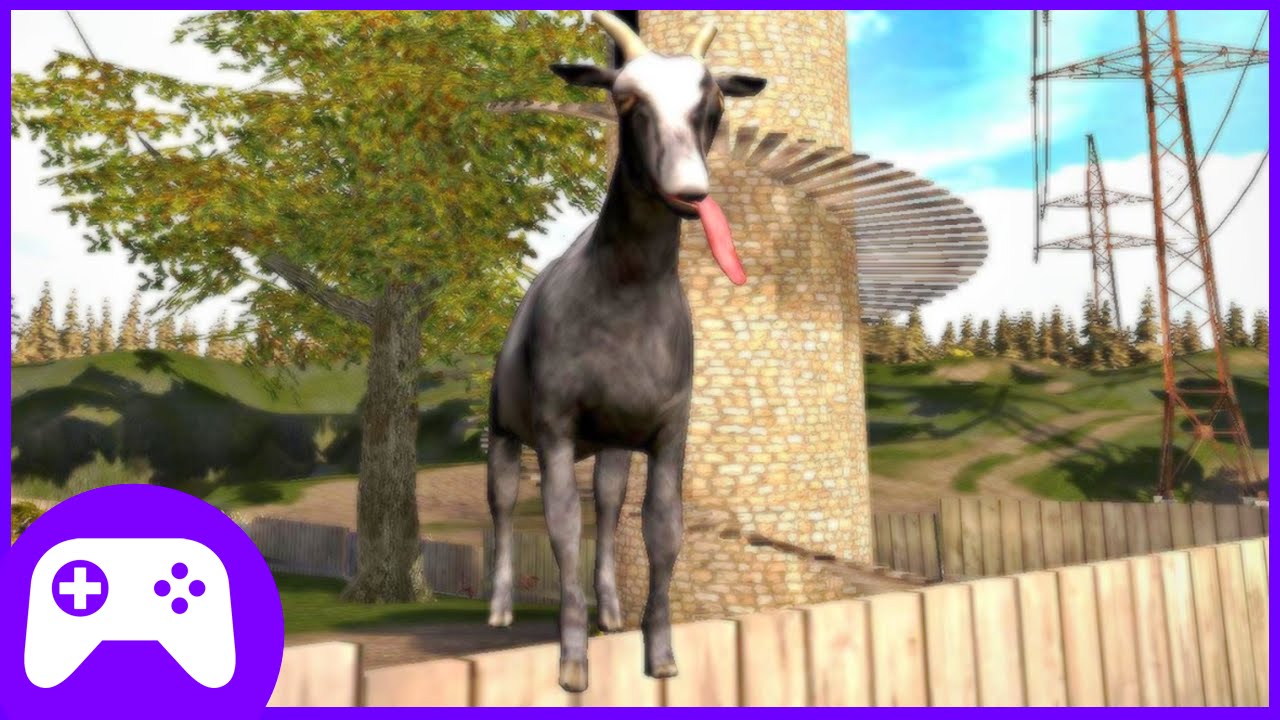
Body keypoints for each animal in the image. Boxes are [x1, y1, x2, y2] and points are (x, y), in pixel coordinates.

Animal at [486, 11, 766, 693]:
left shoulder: (670, 431)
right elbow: (562, 527)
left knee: (610, 507)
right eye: (625, 101)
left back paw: (611, 611)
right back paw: (501, 610)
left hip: (612, 443)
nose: (691, 191)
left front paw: (661, 654)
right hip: (503, 427)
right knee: (503, 505)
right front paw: (571, 664)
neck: (625, 295)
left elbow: (662, 529)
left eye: (713, 105)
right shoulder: (556, 430)